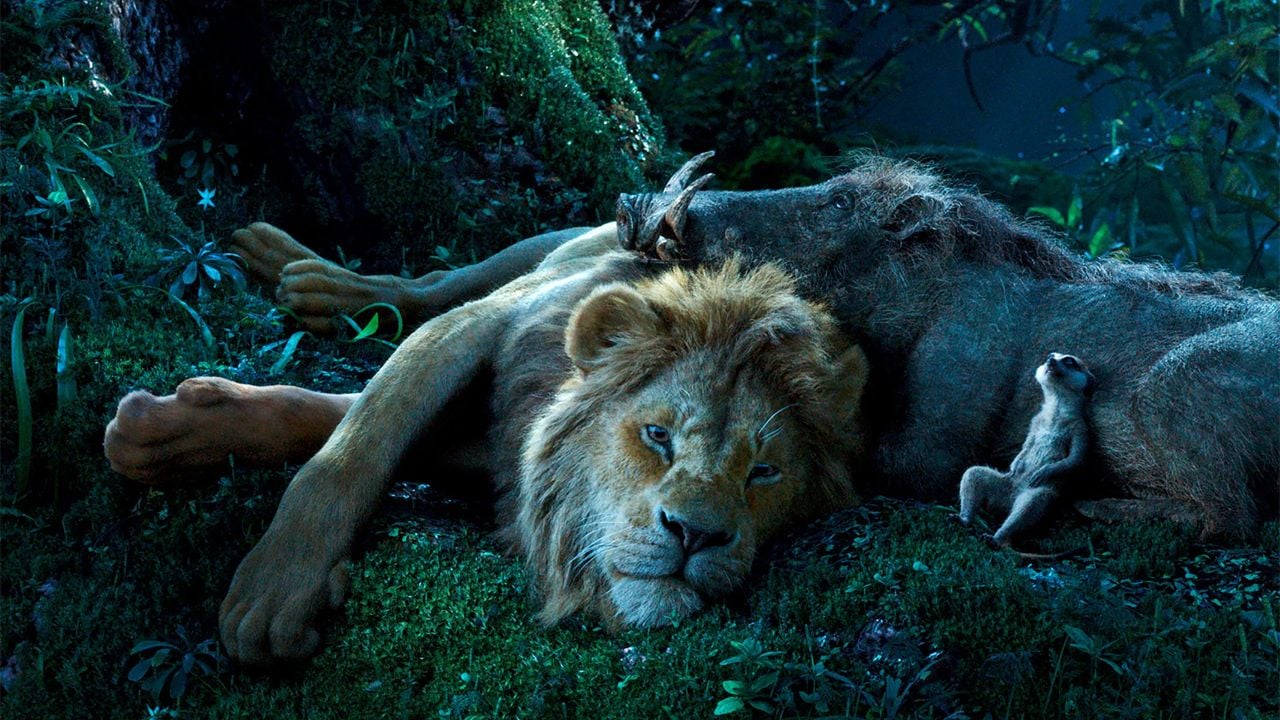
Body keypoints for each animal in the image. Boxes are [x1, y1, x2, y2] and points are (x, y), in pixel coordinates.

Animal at [106, 205, 869, 662]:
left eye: (764, 473)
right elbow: (354, 445)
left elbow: (332, 416)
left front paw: (172, 433)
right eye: (657, 436)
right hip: (549, 248)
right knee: (439, 281)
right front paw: (277, 588)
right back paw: (313, 278)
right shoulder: (484, 326)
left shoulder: (503, 450)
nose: (698, 535)